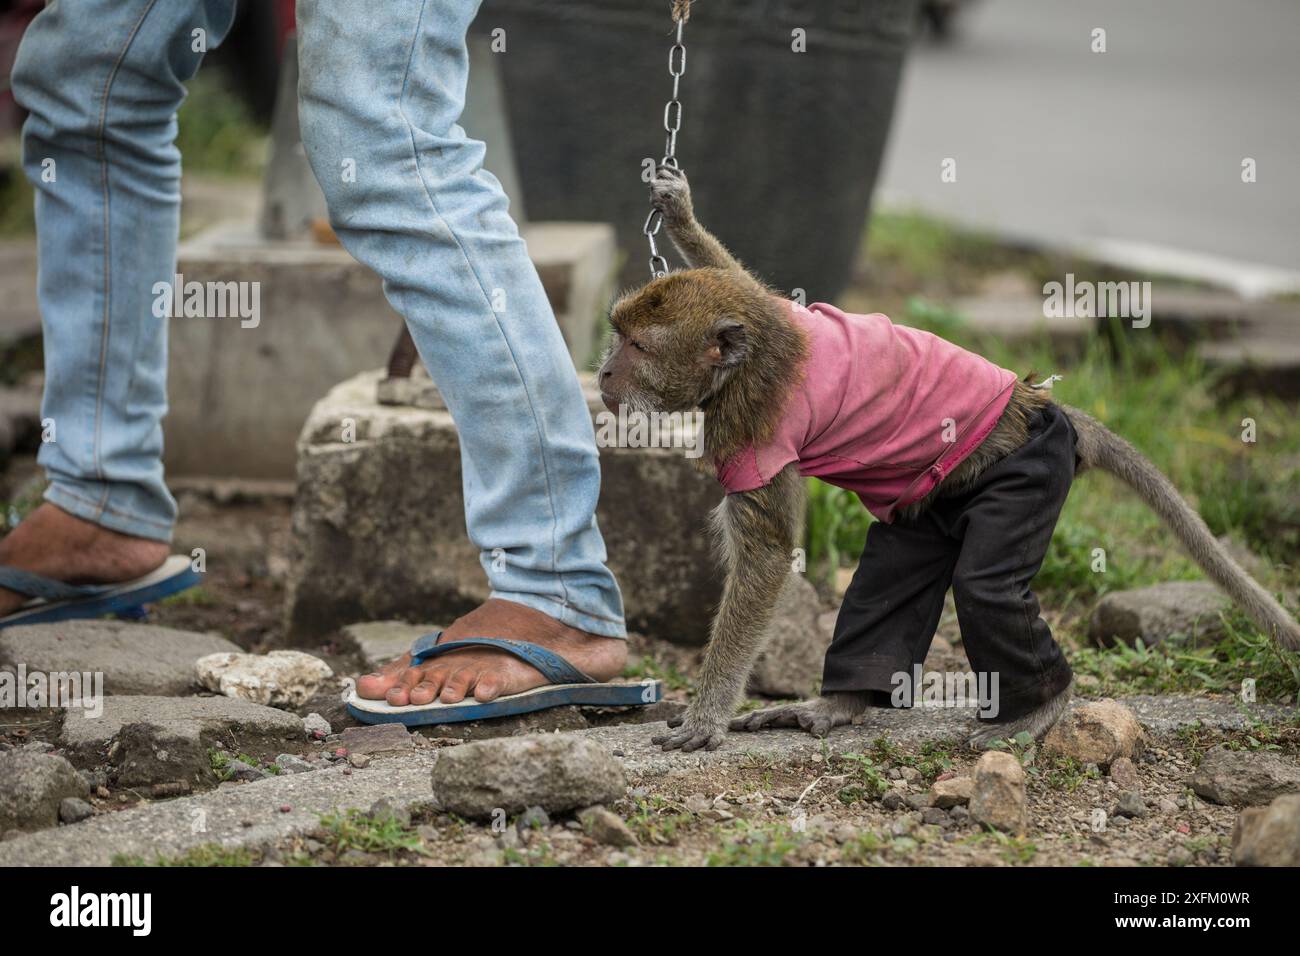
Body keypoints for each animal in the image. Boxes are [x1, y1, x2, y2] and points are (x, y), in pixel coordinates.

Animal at [596, 164, 1300, 754]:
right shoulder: (761, 308)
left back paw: (1040, 708)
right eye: (617, 333)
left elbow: (766, 556)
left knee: (988, 586)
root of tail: (1042, 408)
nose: (602, 372)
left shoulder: (751, 425)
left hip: (1030, 480)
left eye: (636, 346)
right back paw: (840, 705)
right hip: (929, 511)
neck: (746, 356)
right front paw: (681, 213)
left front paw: (707, 716)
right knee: (890, 573)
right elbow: (743, 277)